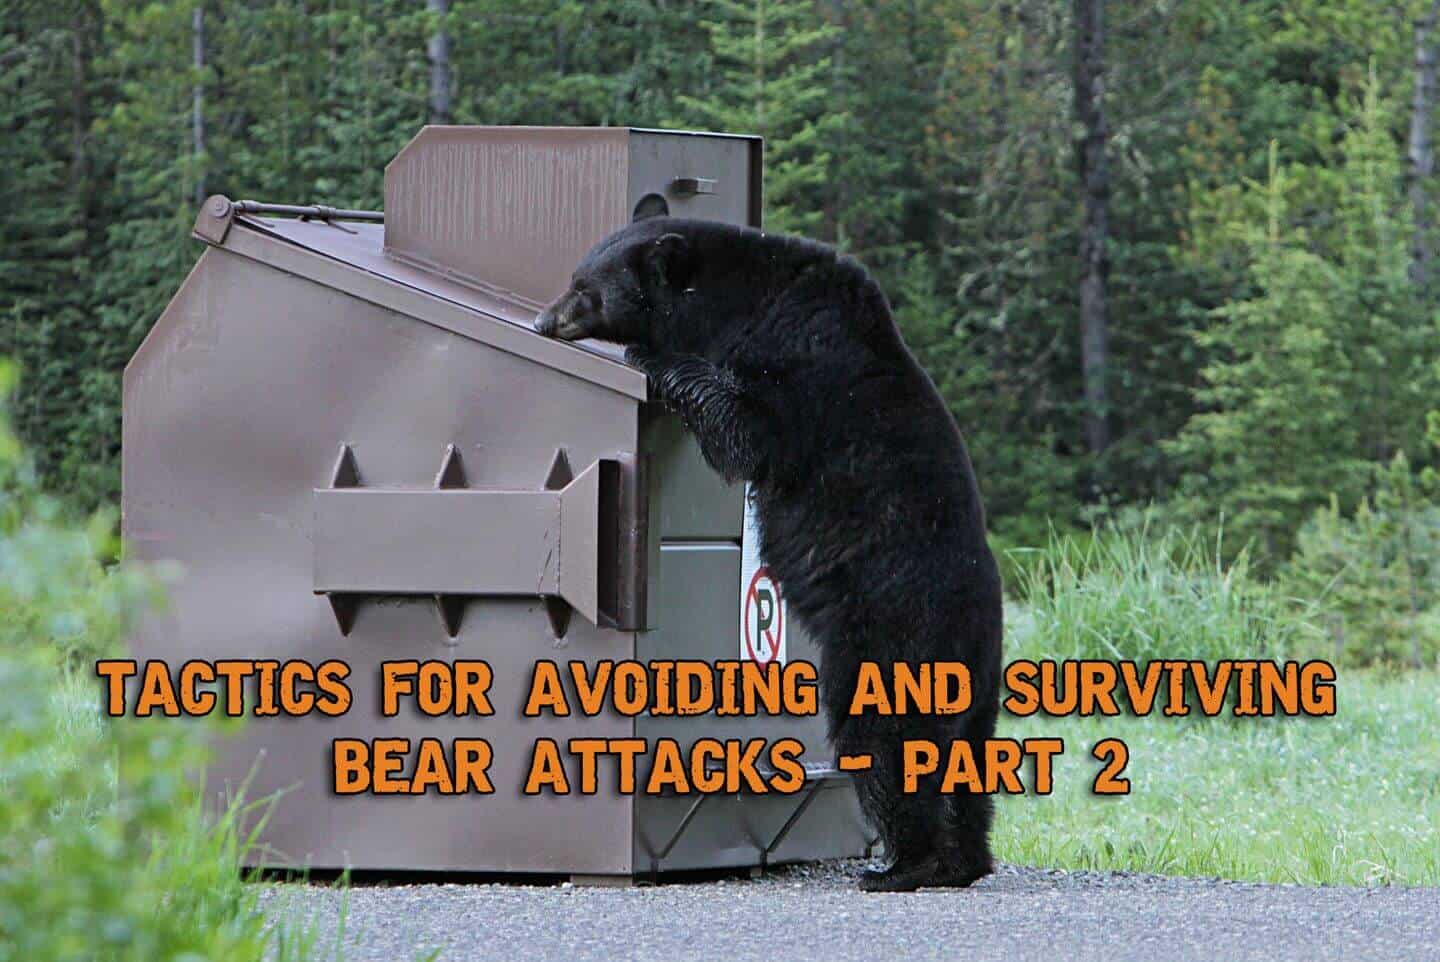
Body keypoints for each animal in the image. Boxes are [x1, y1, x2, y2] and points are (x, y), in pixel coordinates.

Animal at [536, 216, 1004, 892]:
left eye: (584, 287)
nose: (544, 320)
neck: (745, 300)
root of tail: (974, 626)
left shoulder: (800, 362)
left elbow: (747, 434)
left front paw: (655, 358)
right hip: (976, 681)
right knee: (970, 765)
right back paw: (964, 860)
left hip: (892, 640)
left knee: (886, 740)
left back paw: (904, 864)